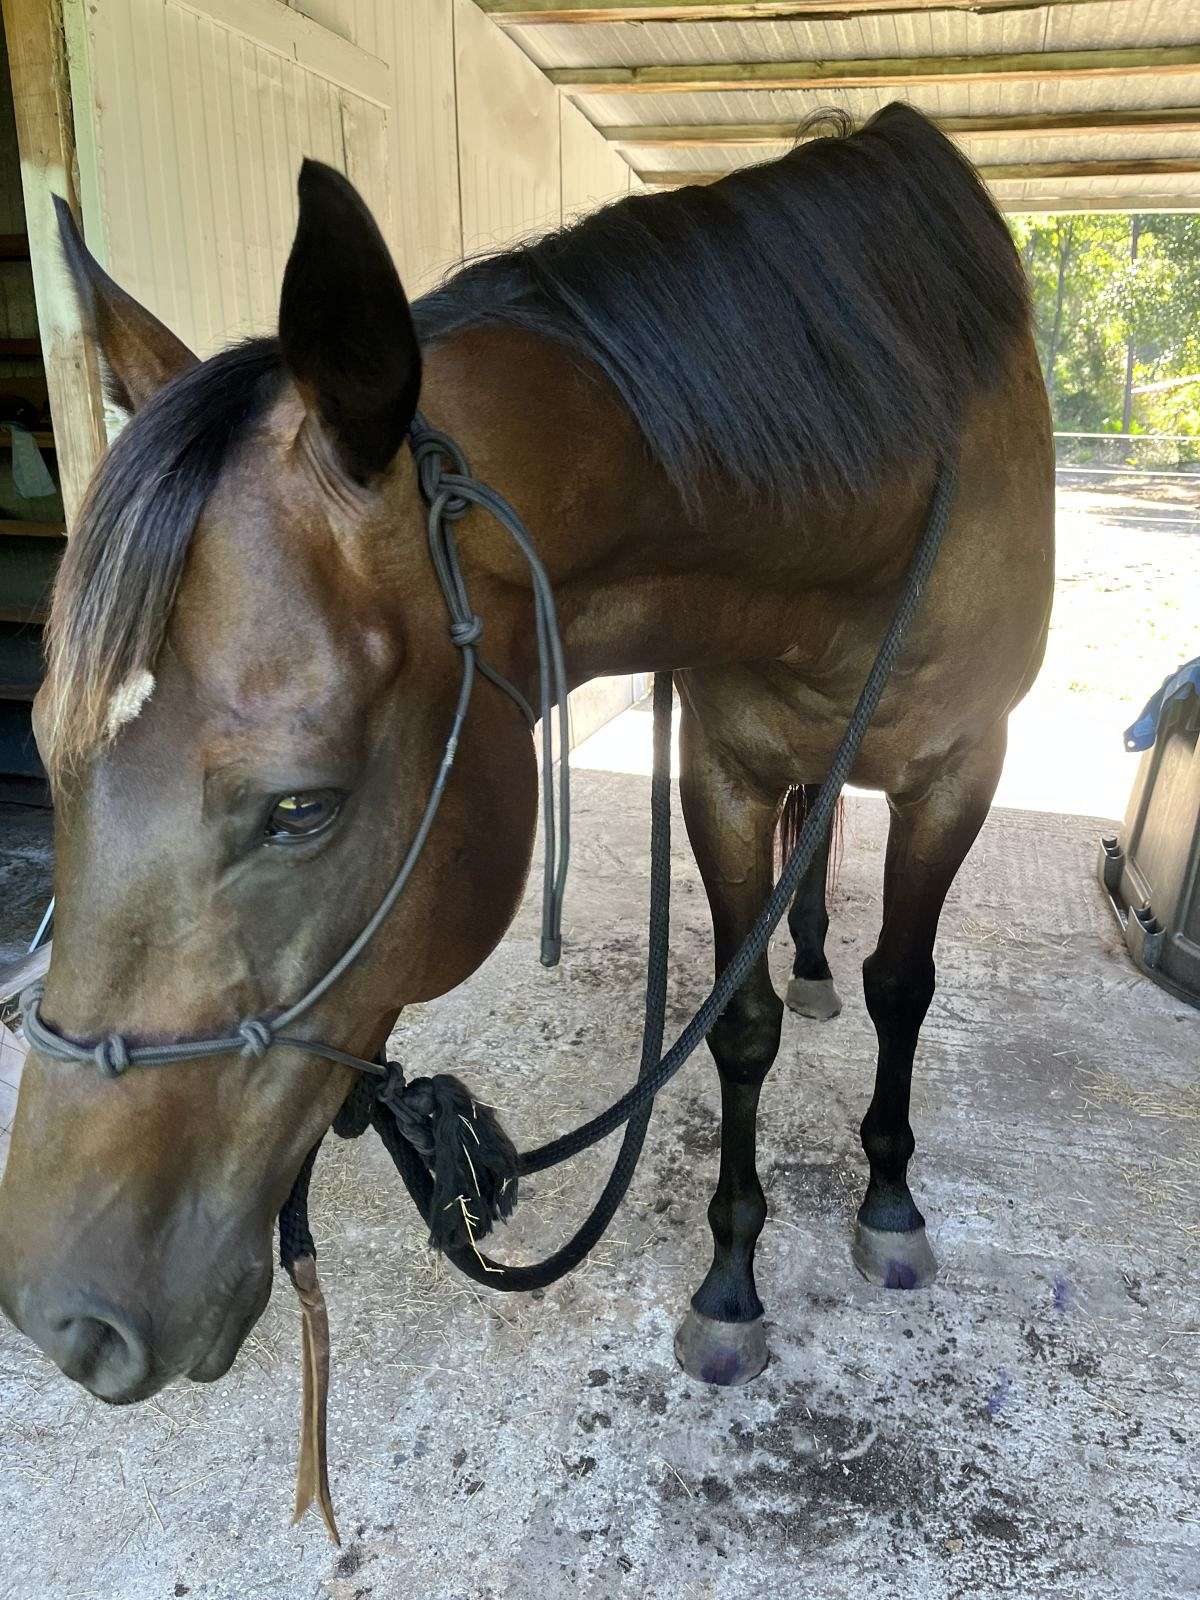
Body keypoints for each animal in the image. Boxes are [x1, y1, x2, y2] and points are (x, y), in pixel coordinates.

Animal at [0, 103, 1052, 1407]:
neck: (870, 518)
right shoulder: (722, 770)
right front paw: (731, 1281)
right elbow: (740, 1021)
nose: (57, 1317)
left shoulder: (963, 768)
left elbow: (902, 986)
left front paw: (891, 1204)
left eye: (300, 809)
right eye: (48, 747)